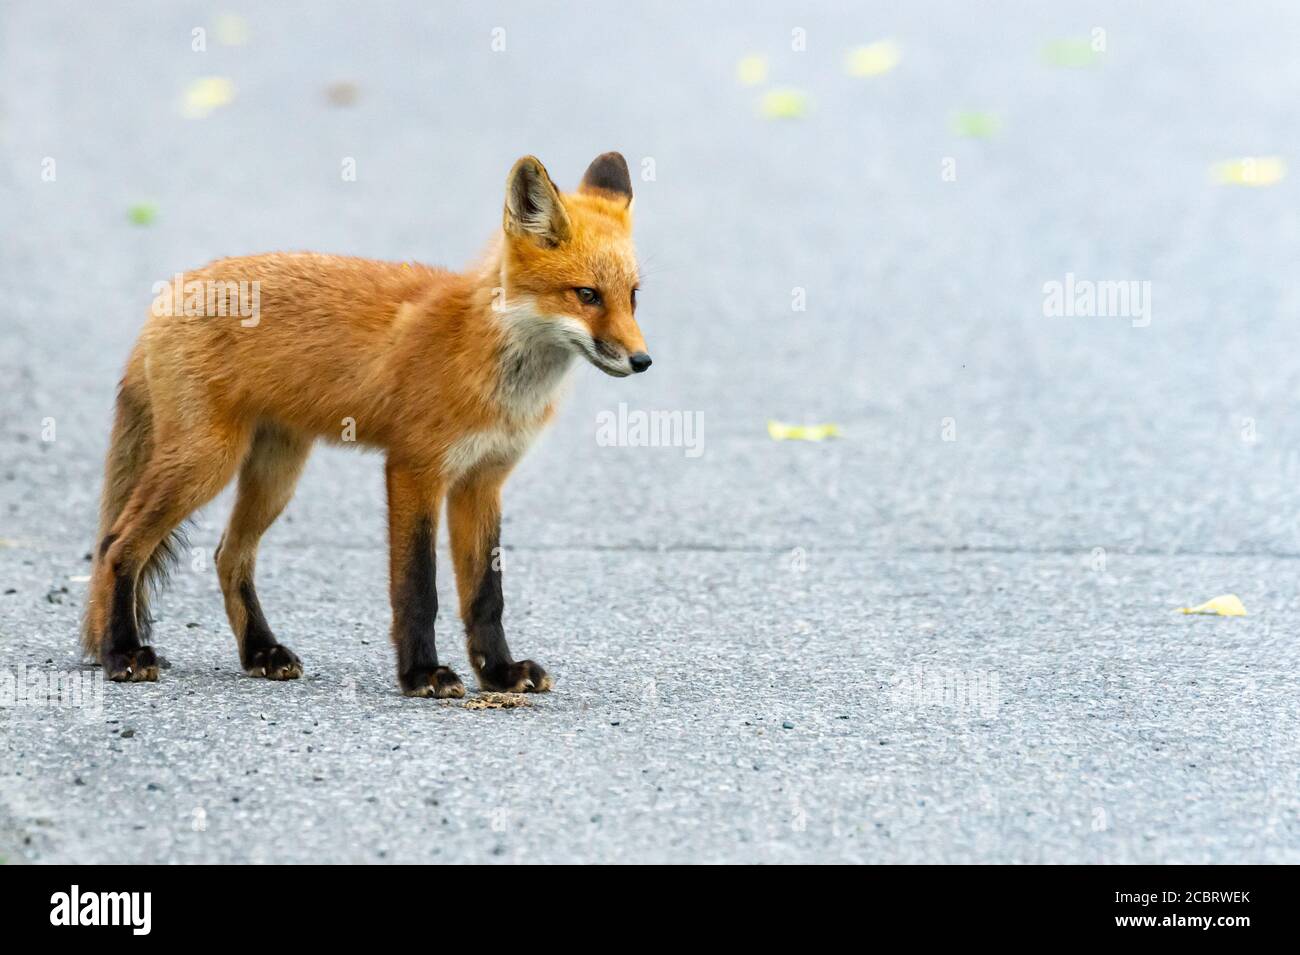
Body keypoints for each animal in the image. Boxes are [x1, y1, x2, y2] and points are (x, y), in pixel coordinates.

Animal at [81, 152, 650, 698]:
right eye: (587, 295)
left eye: (633, 296)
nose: (643, 361)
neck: (492, 363)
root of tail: (170, 293)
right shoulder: (415, 467)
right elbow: (418, 588)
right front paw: (422, 674)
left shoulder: (482, 480)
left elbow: (486, 597)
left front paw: (500, 673)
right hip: (207, 463)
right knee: (116, 545)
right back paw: (122, 653)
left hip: (276, 475)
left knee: (228, 555)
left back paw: (261, 652)